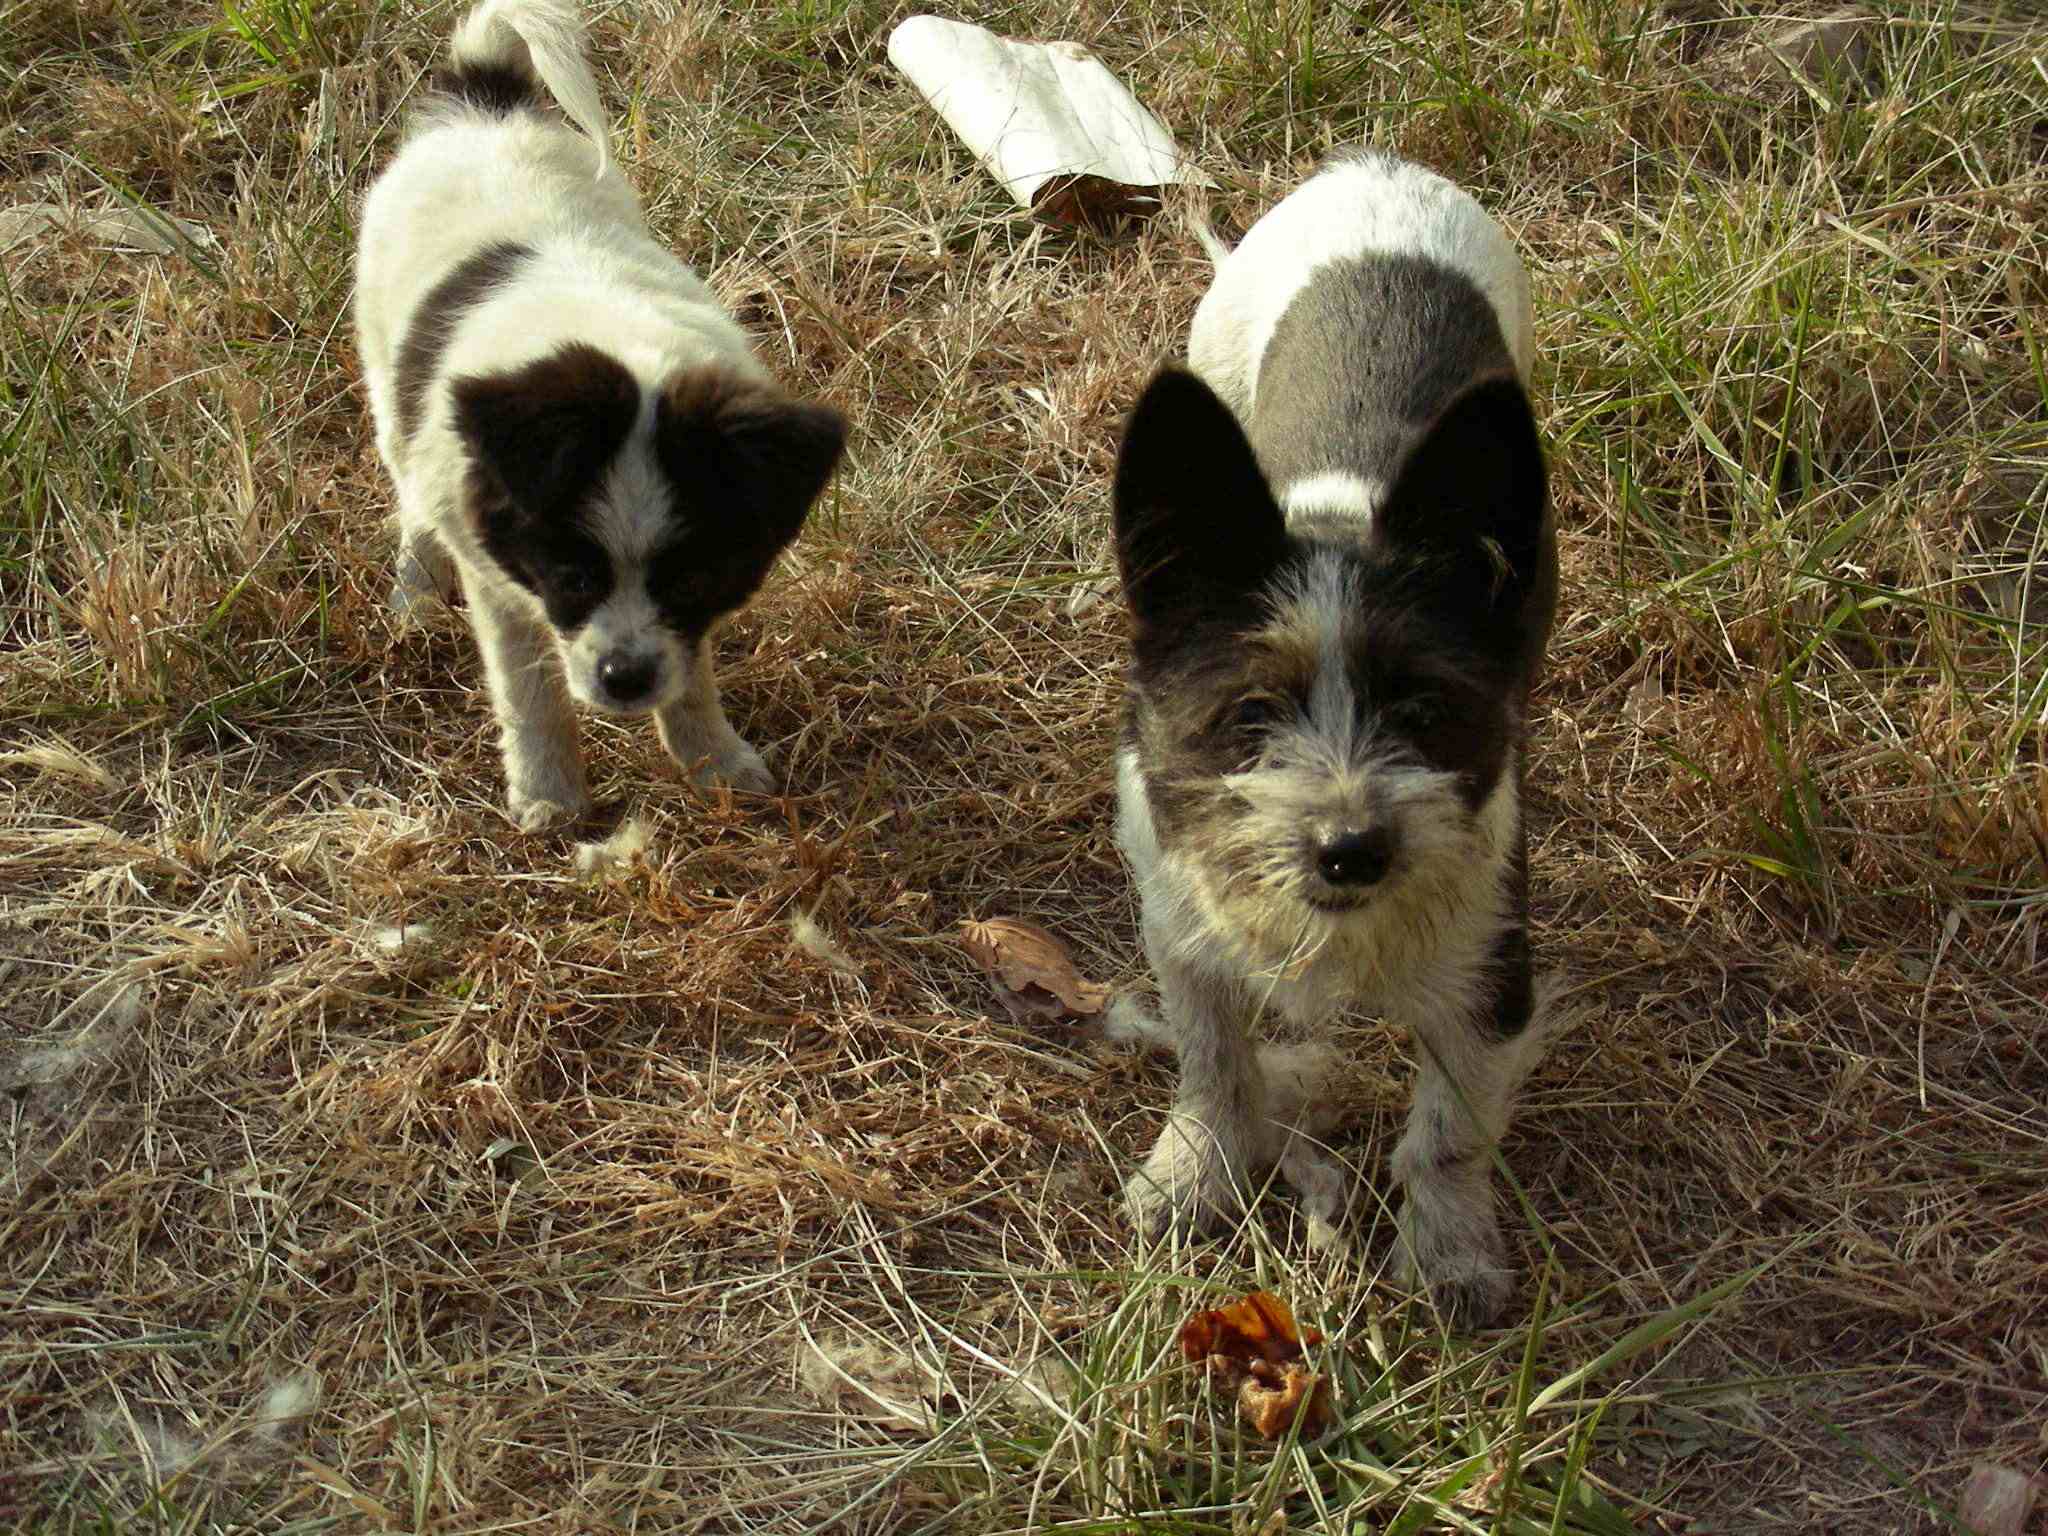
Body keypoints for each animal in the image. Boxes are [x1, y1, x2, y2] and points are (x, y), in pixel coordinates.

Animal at [352, 0, 839, 831]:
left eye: (695, 580)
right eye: (572, 578)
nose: (625, 678)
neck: (624, 355)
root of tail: (487, 98)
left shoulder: (683, 623)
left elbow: (691, 671)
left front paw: (712, 760)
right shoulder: (500, 581)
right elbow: (531, 694)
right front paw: (549, 795)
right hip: (386, 370)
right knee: (409, 488)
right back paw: (413, 596)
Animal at [1114, 159, 1556, 1335]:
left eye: (1425, 709)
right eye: (1249, 716)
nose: (1350, 850)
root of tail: (1373, 168)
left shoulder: (1487, 977)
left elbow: (1449, 1135)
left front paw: (1448, 1257)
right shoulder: (1183, 933)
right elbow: (1214, 1062)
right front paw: (1194, 1177)